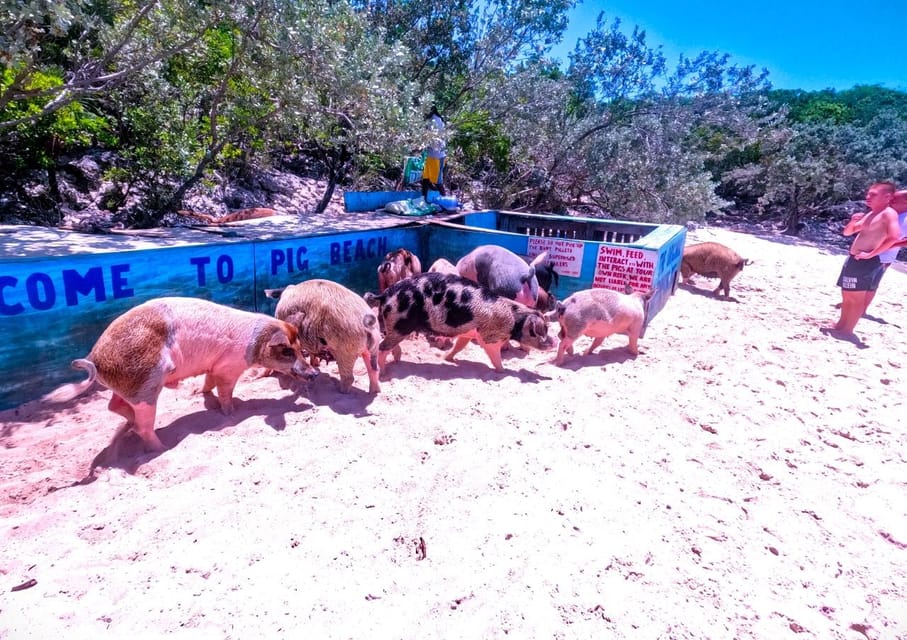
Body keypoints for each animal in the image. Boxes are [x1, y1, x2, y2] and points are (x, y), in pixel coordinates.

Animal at [46, 297, 319, 454]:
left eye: (300, 348)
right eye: (287, 351)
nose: (314, 373)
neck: (256, 343)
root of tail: (94, 357)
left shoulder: (213, 366)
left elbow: (208, 383)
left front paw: (201, 394)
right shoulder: (228, 367)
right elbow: (226, 392)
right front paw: (231, 412)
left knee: (114, 406)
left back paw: (130, 426)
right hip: (146, 387)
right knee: (142, 426)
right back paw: (163, 448)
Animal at [363, 272, 555, 374]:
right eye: (540, 331)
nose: (554, 342)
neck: (514, 320)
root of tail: (385, 294)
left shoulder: (467, 332)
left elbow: (459, 346)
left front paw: (447, 358)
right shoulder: (489, 335)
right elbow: (495, 354)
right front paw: (502, 370)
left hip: (396, 327)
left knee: (389, 344)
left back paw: (397, 360)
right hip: (399, 324)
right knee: (382, 347)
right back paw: (384, 373)